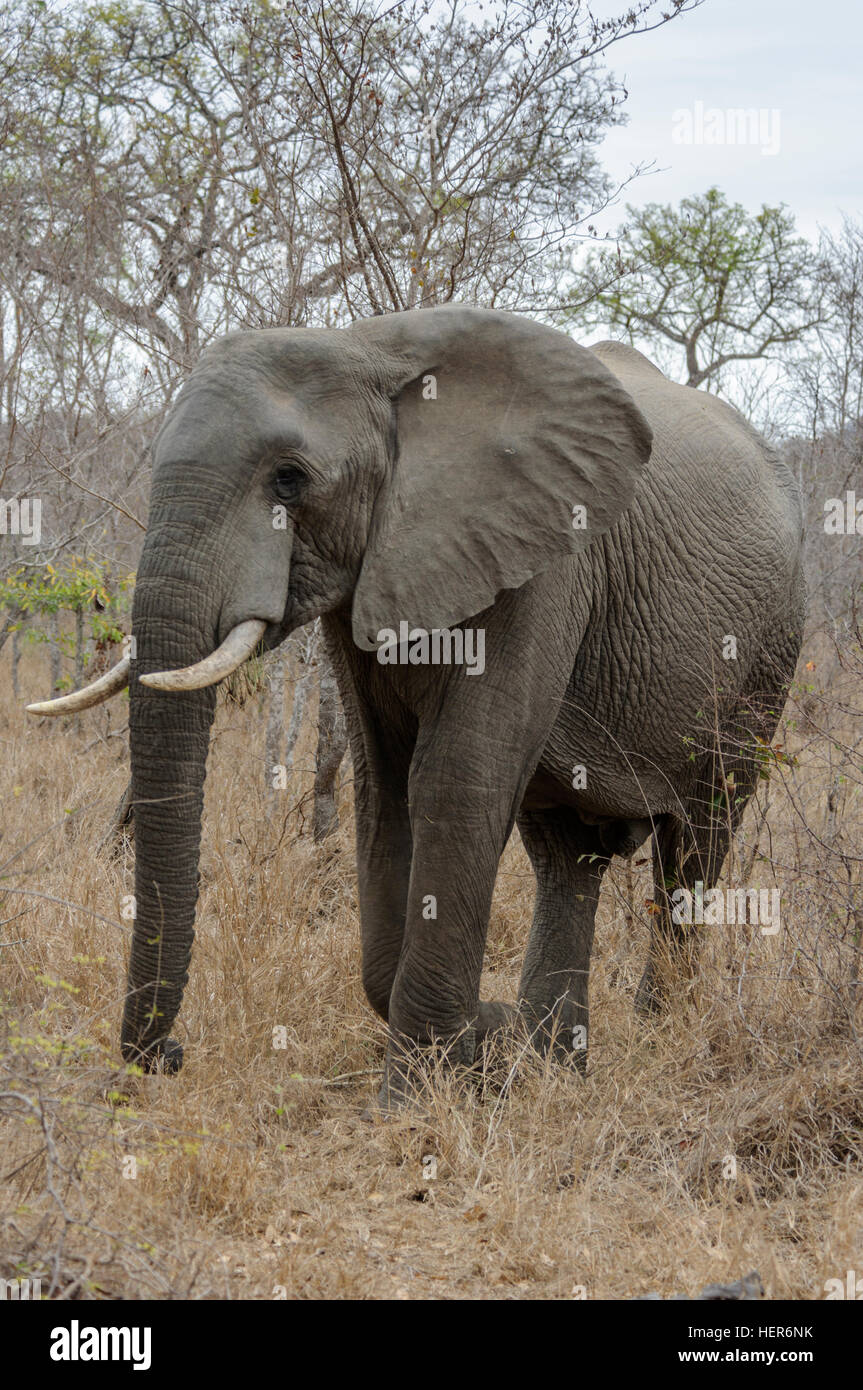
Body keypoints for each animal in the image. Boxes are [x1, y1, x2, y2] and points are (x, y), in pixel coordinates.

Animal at [28, 305, 805, 1108]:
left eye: (288, 480)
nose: (171, 1055)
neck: (369, 346)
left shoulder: (540, 562)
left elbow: (457, 778)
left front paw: (416, 1096)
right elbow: (383, 783)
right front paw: (478, 1043)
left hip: (766, 652)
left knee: (698, 836)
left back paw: (655, 1032)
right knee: (567, 855)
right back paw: (551, 1062)